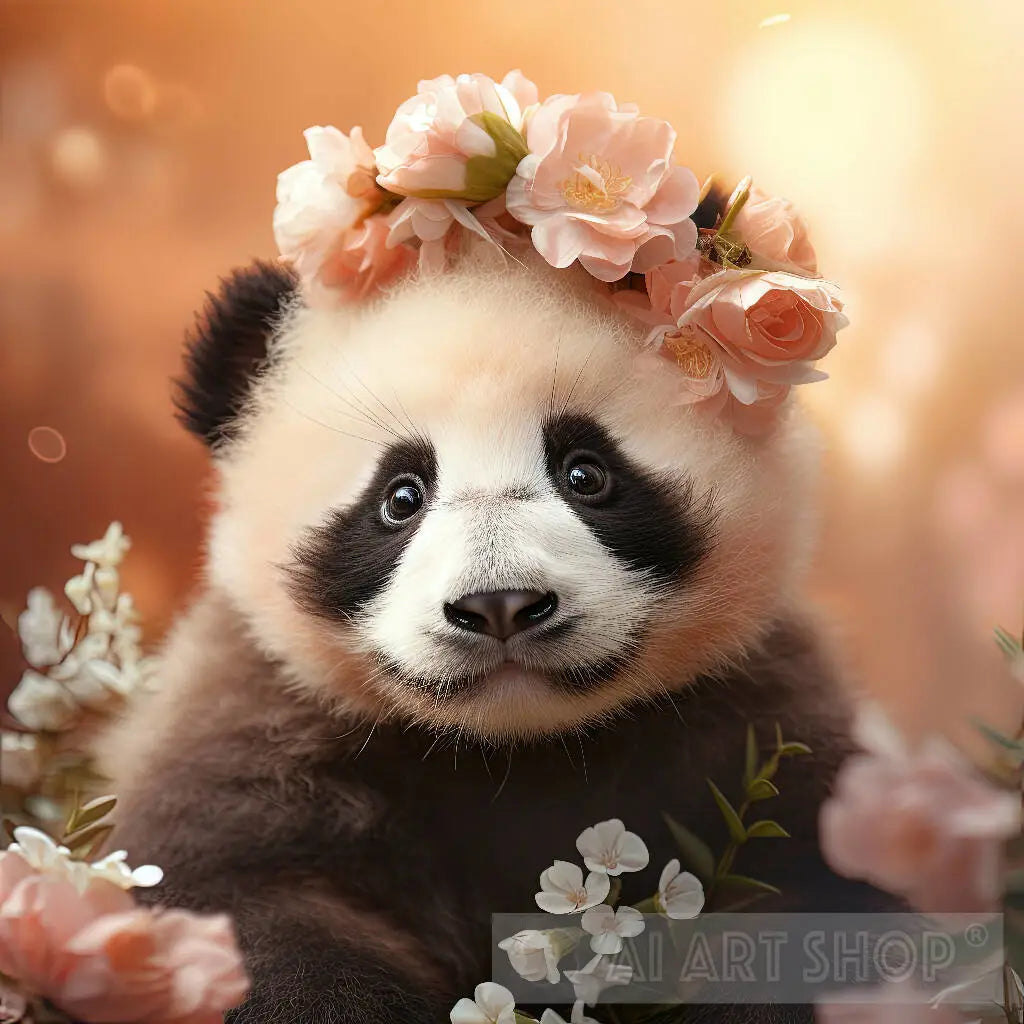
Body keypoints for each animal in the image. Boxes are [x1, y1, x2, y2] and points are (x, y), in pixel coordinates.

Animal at [101, 224, 891, 1023]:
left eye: (586, 472)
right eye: (401, 497)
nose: (501, 604)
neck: (513, 752)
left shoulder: (755, 724)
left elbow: (802, 908)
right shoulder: (259, 735)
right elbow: (256, 916)